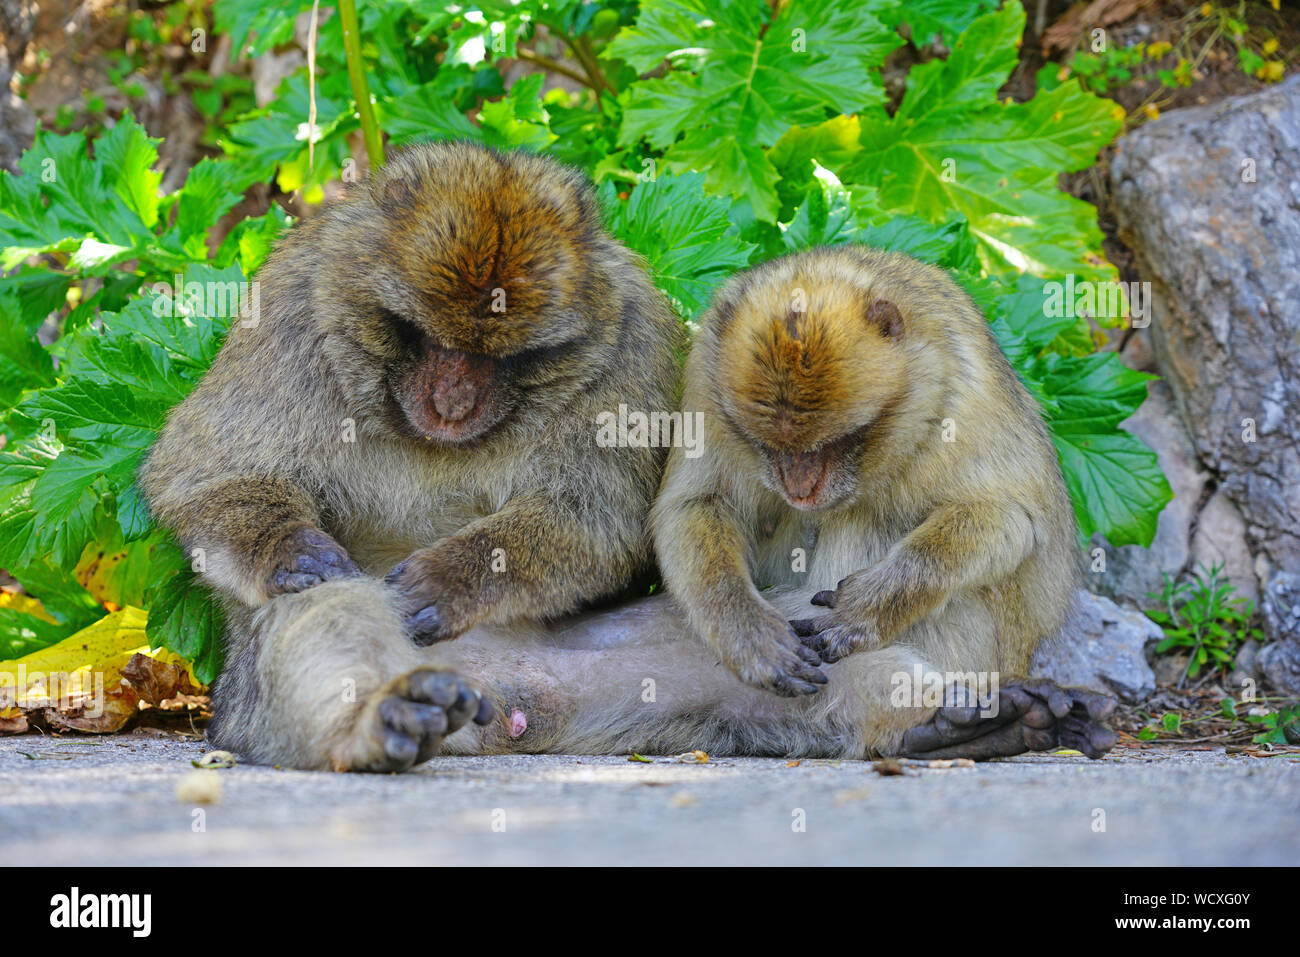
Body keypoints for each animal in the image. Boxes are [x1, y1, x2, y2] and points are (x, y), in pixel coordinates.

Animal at [140, 140, 684, 771]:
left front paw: (456, 578)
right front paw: (288, 547)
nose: (452, 404)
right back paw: (382, 721)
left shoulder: (632, 344)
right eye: (426, 337)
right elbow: (207, 472)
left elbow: (602, 519)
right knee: (321, 604)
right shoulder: (290, 309)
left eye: (503, 357)